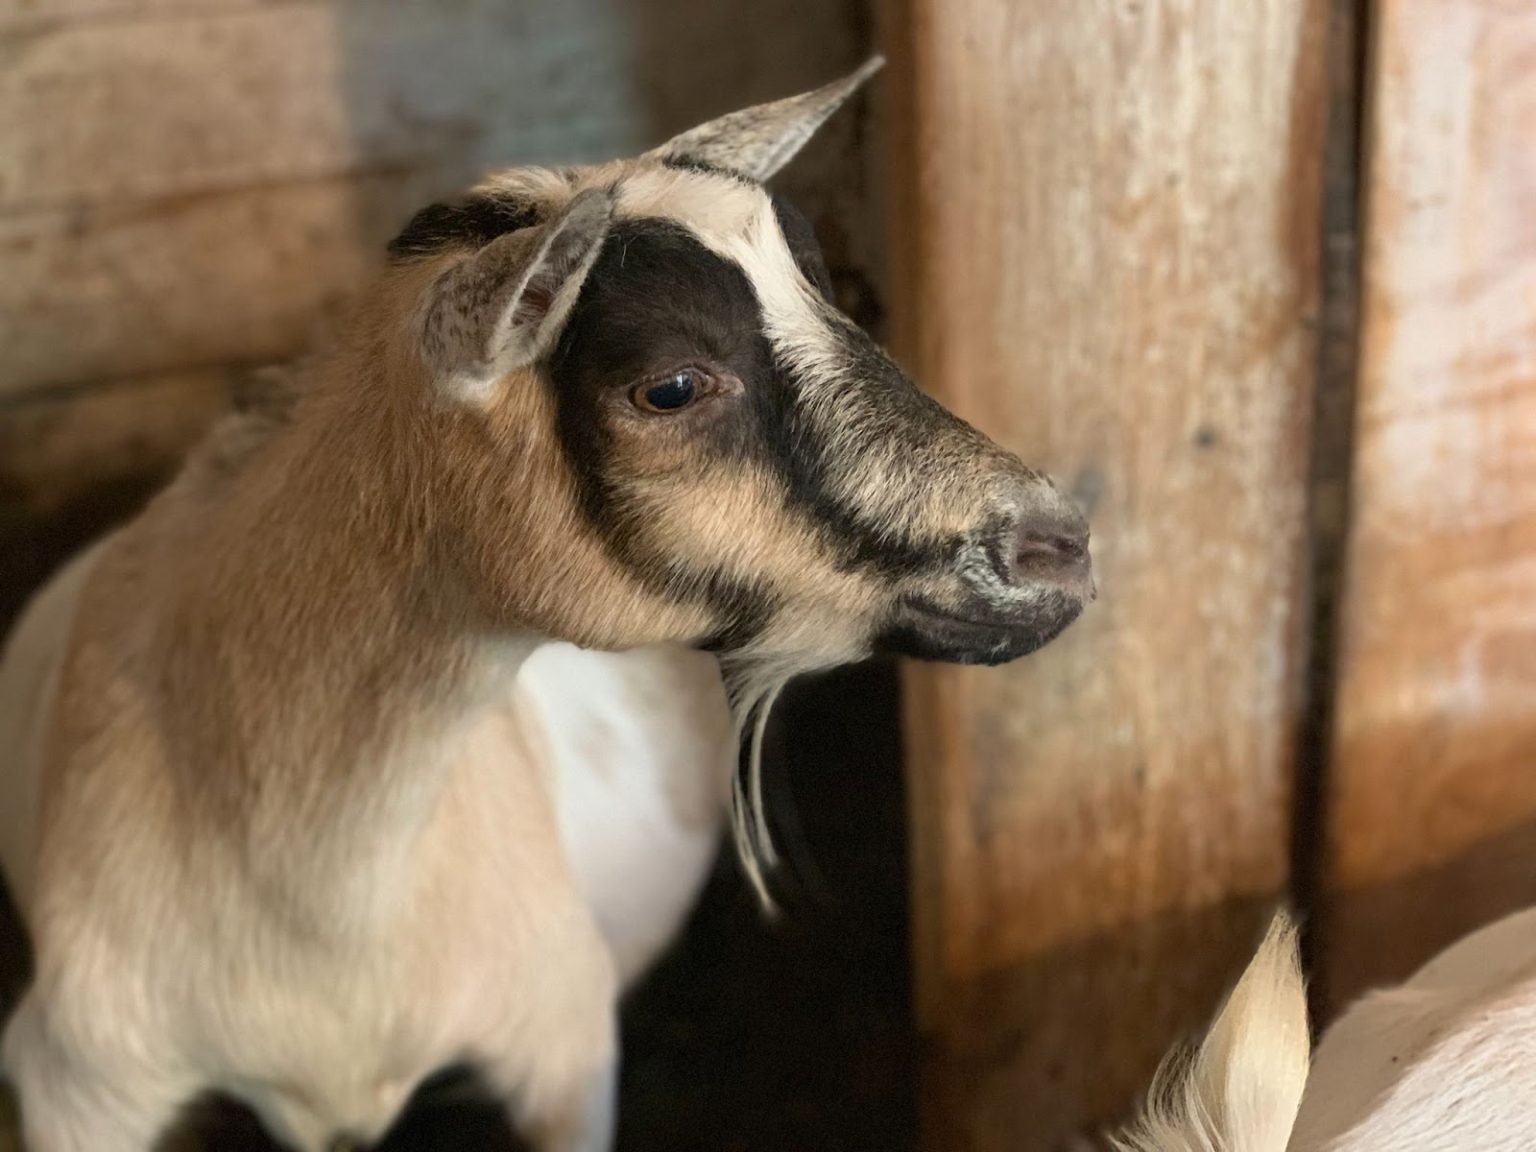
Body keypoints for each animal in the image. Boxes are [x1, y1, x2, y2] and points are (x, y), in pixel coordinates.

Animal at [0, 59, 1094, 1152]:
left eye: (828, 299)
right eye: (670, 386)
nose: (1061, 548)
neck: (318, 894)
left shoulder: (564, 1040)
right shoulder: (79, 1089)